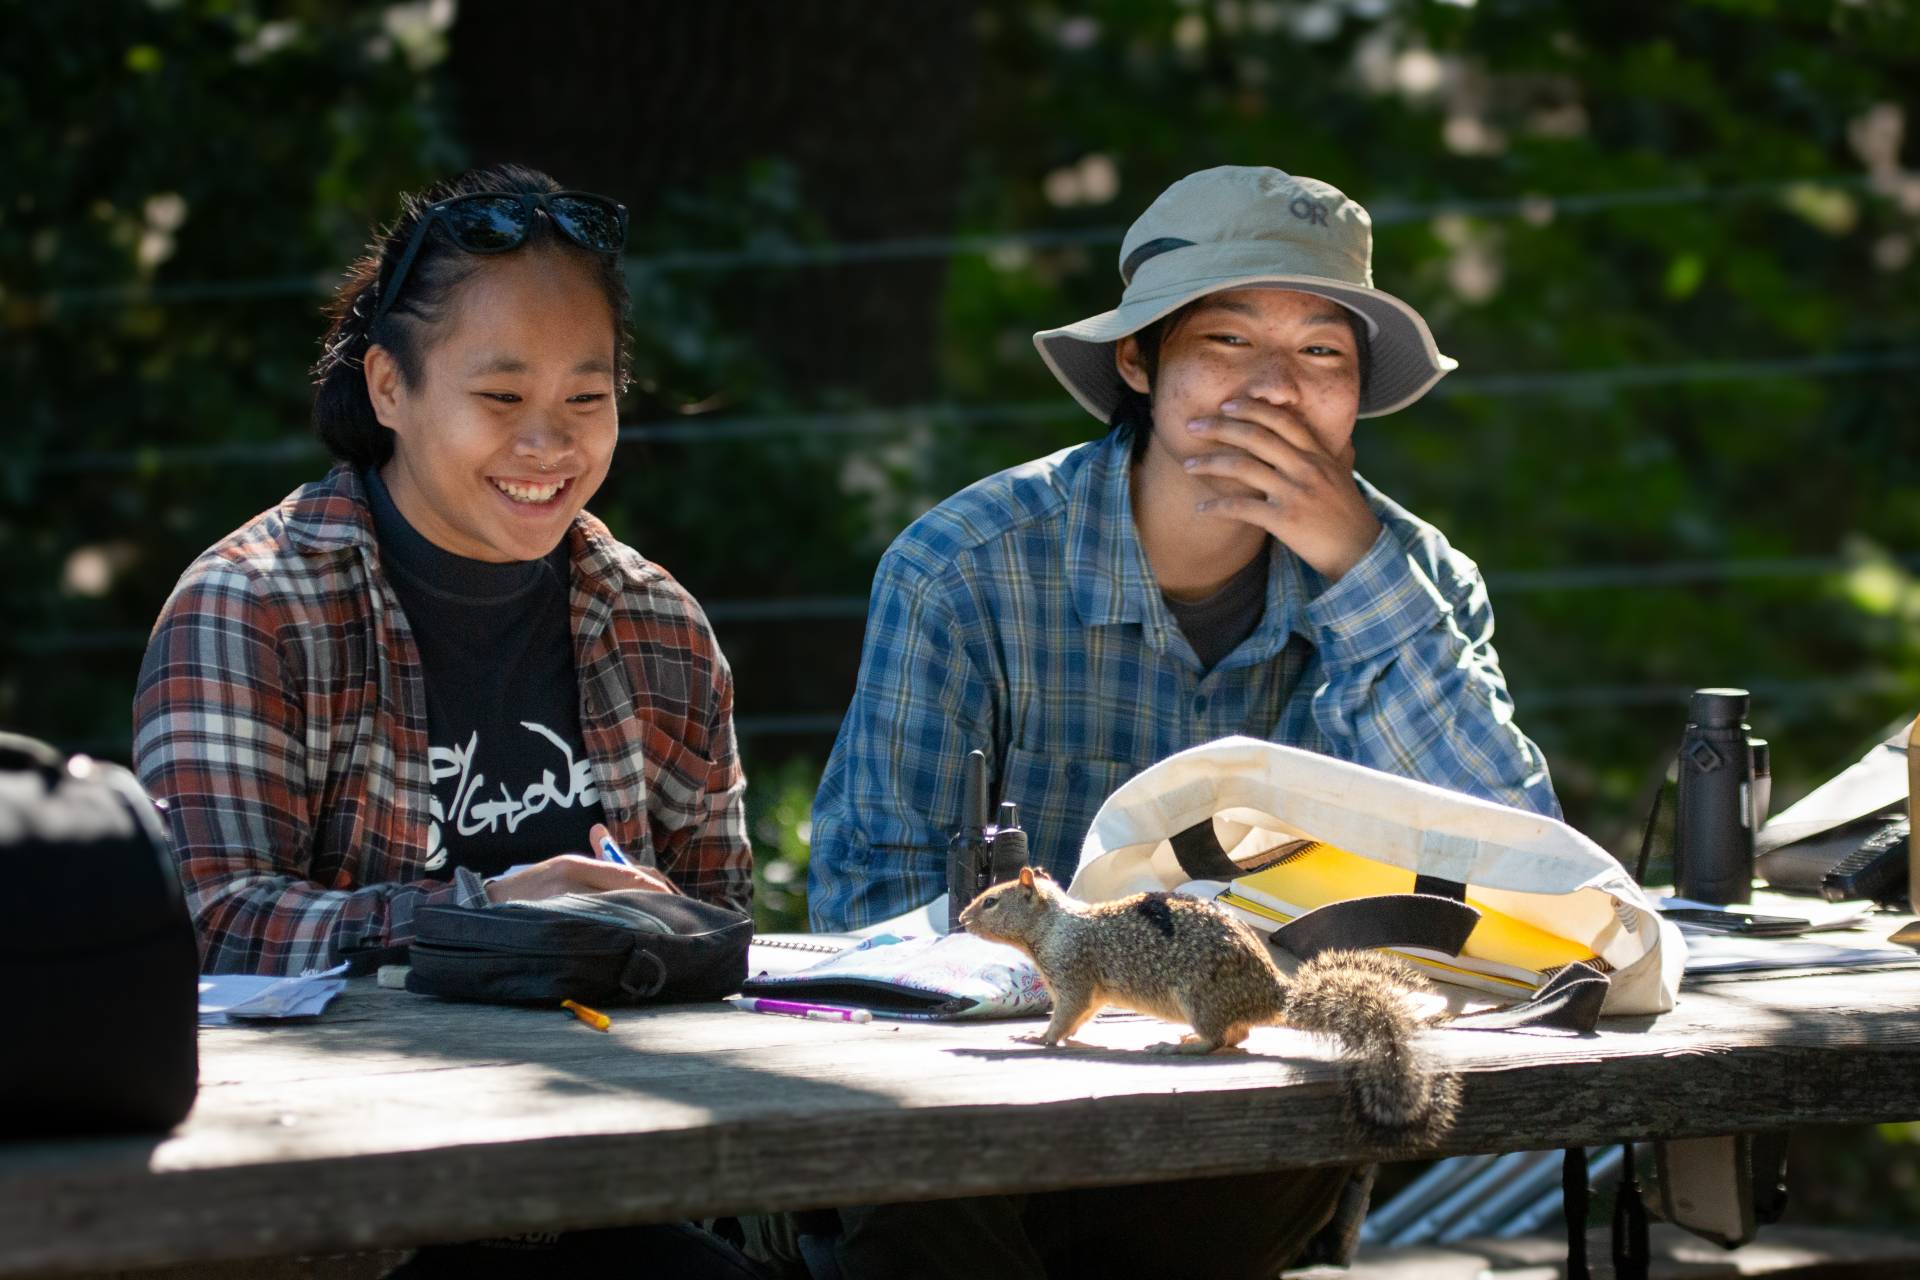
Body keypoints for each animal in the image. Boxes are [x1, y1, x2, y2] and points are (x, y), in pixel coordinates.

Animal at [960, 866, 1459, 1145]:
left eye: (992, 900)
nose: (962, 919)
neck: (1053, 927)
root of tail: (1271, 993)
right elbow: (1079, 1018)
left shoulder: (1074, 976)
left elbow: (1066, 1017)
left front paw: (1037, 1036)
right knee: (1239, 1033)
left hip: (1200, 997)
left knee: (1219, 1037)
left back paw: (1178, 1046)